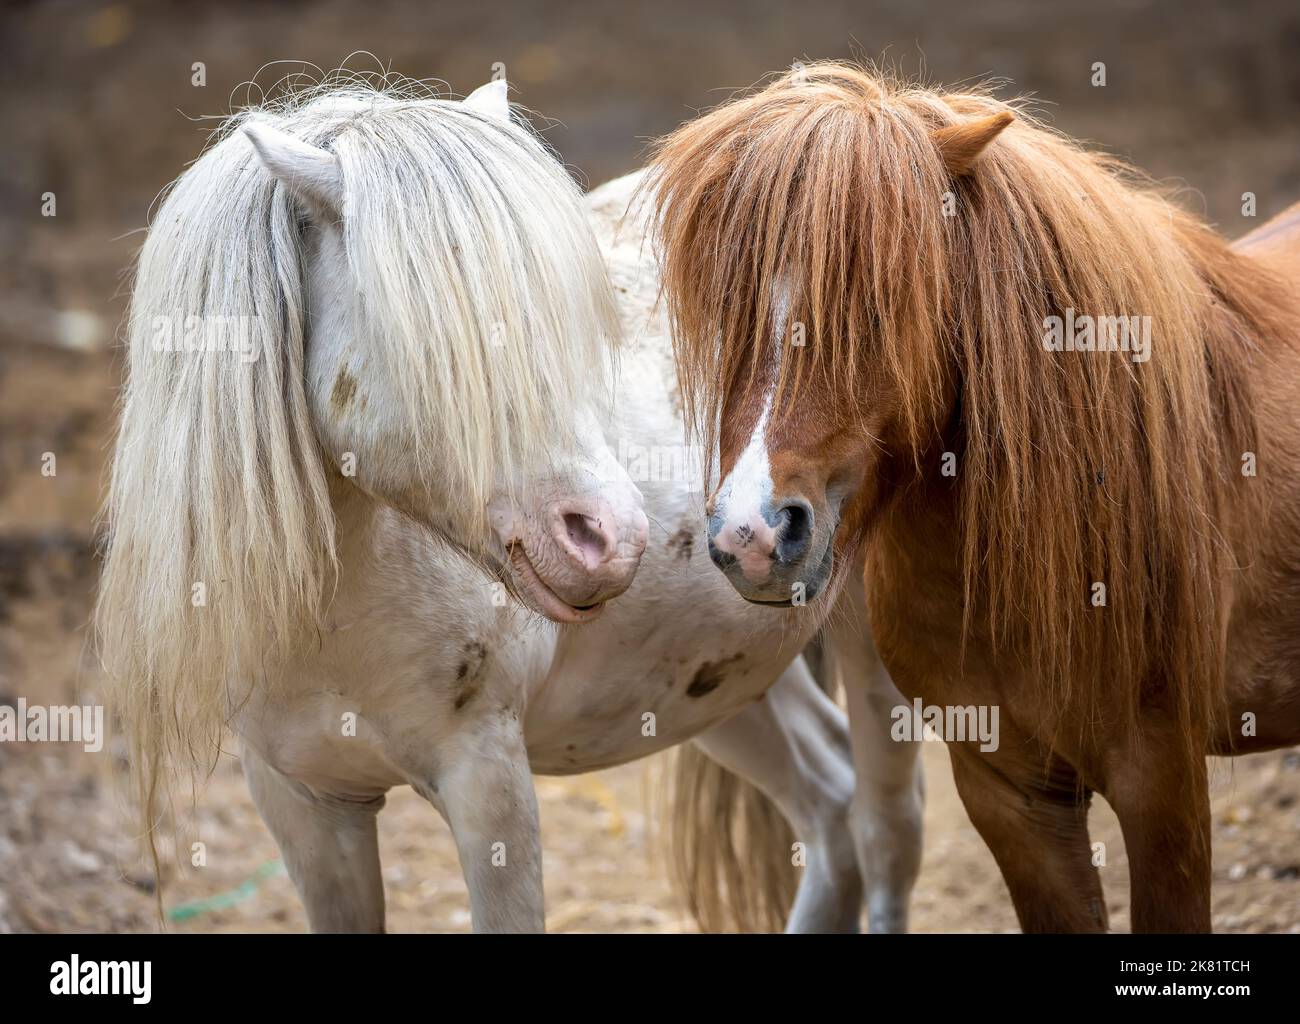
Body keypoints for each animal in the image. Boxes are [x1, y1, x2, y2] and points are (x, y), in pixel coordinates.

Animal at [95, 73, 924, 933]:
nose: (612, 538)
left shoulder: (486, 783)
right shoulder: (305, 804)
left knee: (887, 831)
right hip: (714, 676)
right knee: (829, 802)